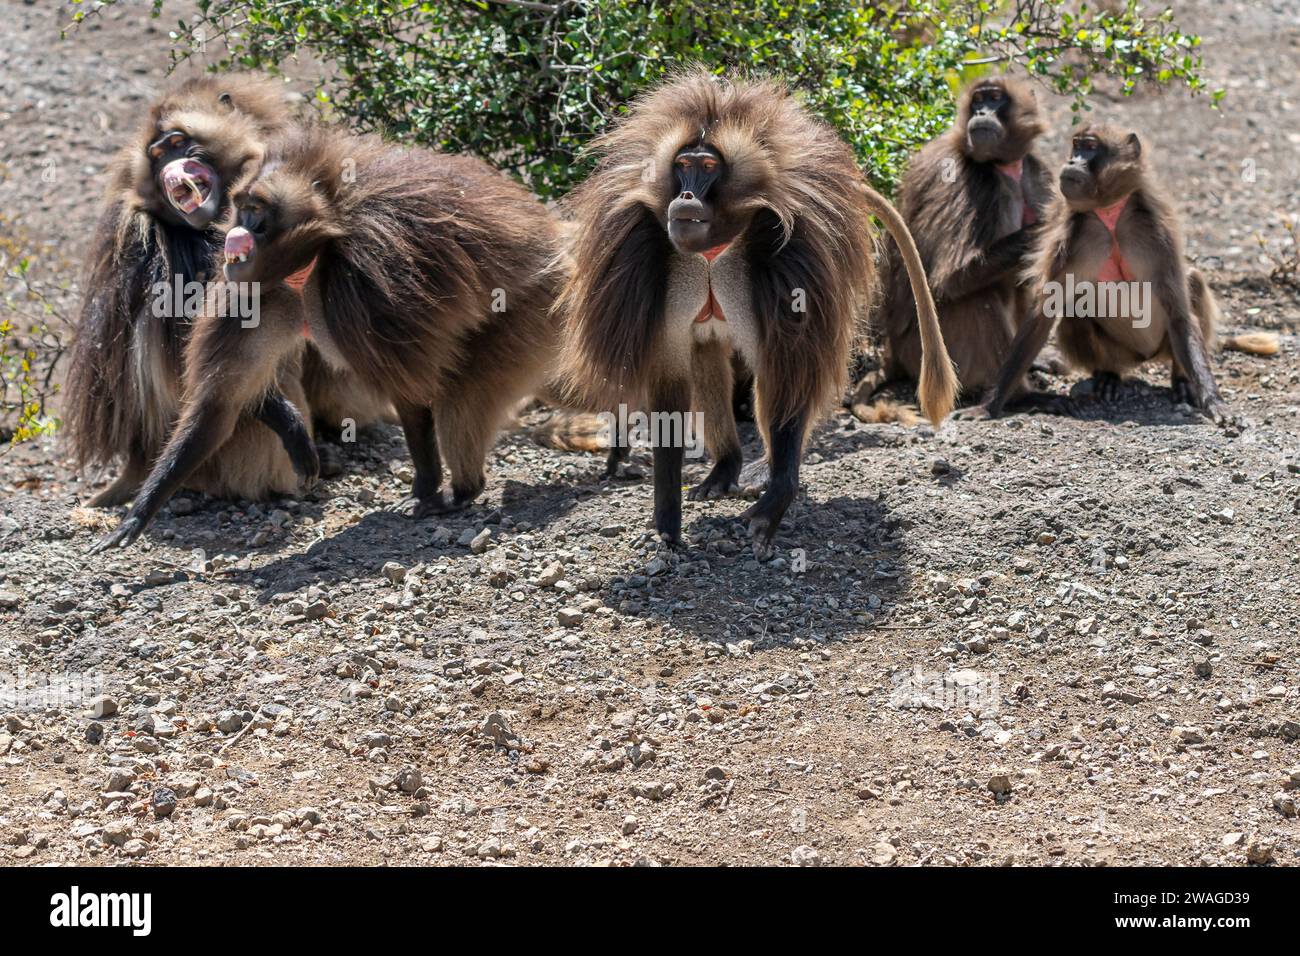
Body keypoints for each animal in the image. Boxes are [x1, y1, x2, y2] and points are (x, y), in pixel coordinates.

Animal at [93, 124, 562, 550]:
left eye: (257, 214)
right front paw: (139, 514)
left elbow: (410, 393)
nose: (234, 234)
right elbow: (218, 407)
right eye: (242, 208)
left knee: (460, 398)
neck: (314, 256)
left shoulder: (367, 287)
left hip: (528, 313)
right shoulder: (257, 296)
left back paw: (463, 491)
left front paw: (426, 491)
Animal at [555, 70, 956, 559]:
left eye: (708, 168)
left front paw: (774, 501)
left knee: (775, 375)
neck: (714, 247)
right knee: (707, 358)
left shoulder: (792, 252)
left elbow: (790, 364)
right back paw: (724, 469)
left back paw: (763, 470)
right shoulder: (649, 257)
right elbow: (670, 383)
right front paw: (666, 521)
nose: (685, 194)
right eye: (683, 164)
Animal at [852, 75, 1052, 418]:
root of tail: (891, 351)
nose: (981, 113)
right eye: (978, 100)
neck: (1003, 166)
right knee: (979, 297)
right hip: (924, 353)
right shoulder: (965, 182)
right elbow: (950, 279)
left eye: (995, 98)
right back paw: (1020, 396)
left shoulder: (1036, 172)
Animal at [954, 125, 1273, 424]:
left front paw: (1213, 400)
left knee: (1192, 283)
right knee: (1076, 306)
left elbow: (1179, 313)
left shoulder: (1158, 234)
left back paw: (1181, 378)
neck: (1109, 216)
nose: (1072, 160)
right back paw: (1107, 376)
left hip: (1164, 346)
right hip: (1120, 353)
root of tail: (1144, 357)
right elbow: (1043, 313)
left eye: (1090, 147)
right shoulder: (1073, 238)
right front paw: (990, 404)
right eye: (1076, 146)